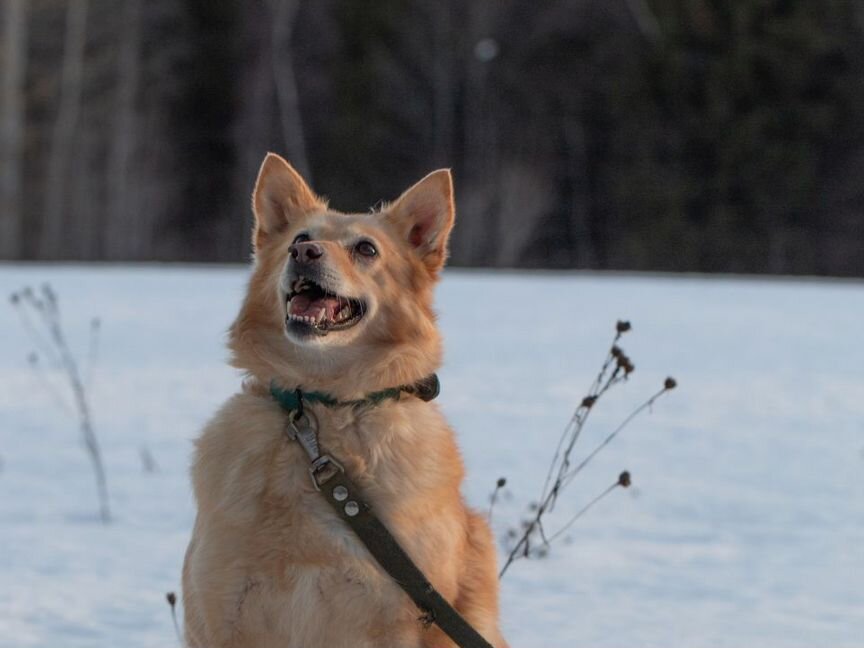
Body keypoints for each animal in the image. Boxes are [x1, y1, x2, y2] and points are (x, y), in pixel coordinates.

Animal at [182, 154, 506, 644]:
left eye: (366, 249)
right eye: (300, 238)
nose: (304, 254)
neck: (323, 409)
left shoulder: (398, 617)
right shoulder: (220, 612)